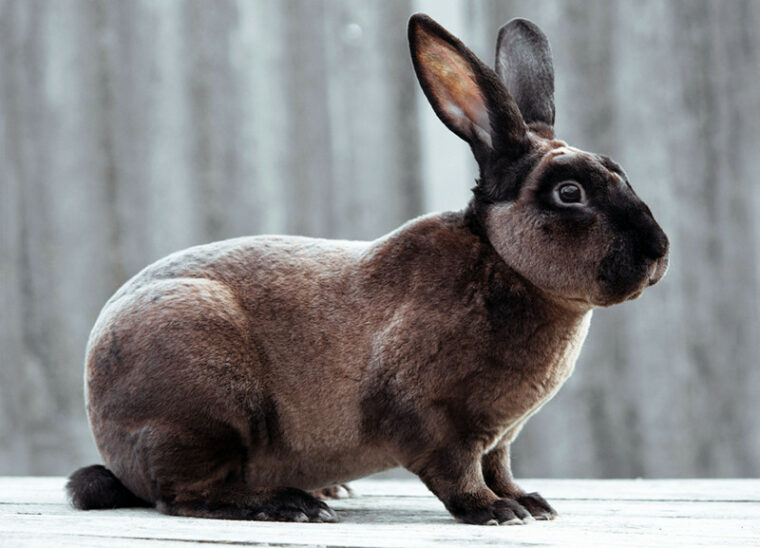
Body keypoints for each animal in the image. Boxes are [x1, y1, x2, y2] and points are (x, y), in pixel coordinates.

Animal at [66, 13, 669, 525]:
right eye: (569, 193)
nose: (659, 251)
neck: (502, 262)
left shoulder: (500, 438)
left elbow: (500, 467)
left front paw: (530, 503)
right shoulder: (429, 417)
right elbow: (457, 471)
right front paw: (496, 511)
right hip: (200, 403)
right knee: (181, 493)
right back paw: (292, 504)